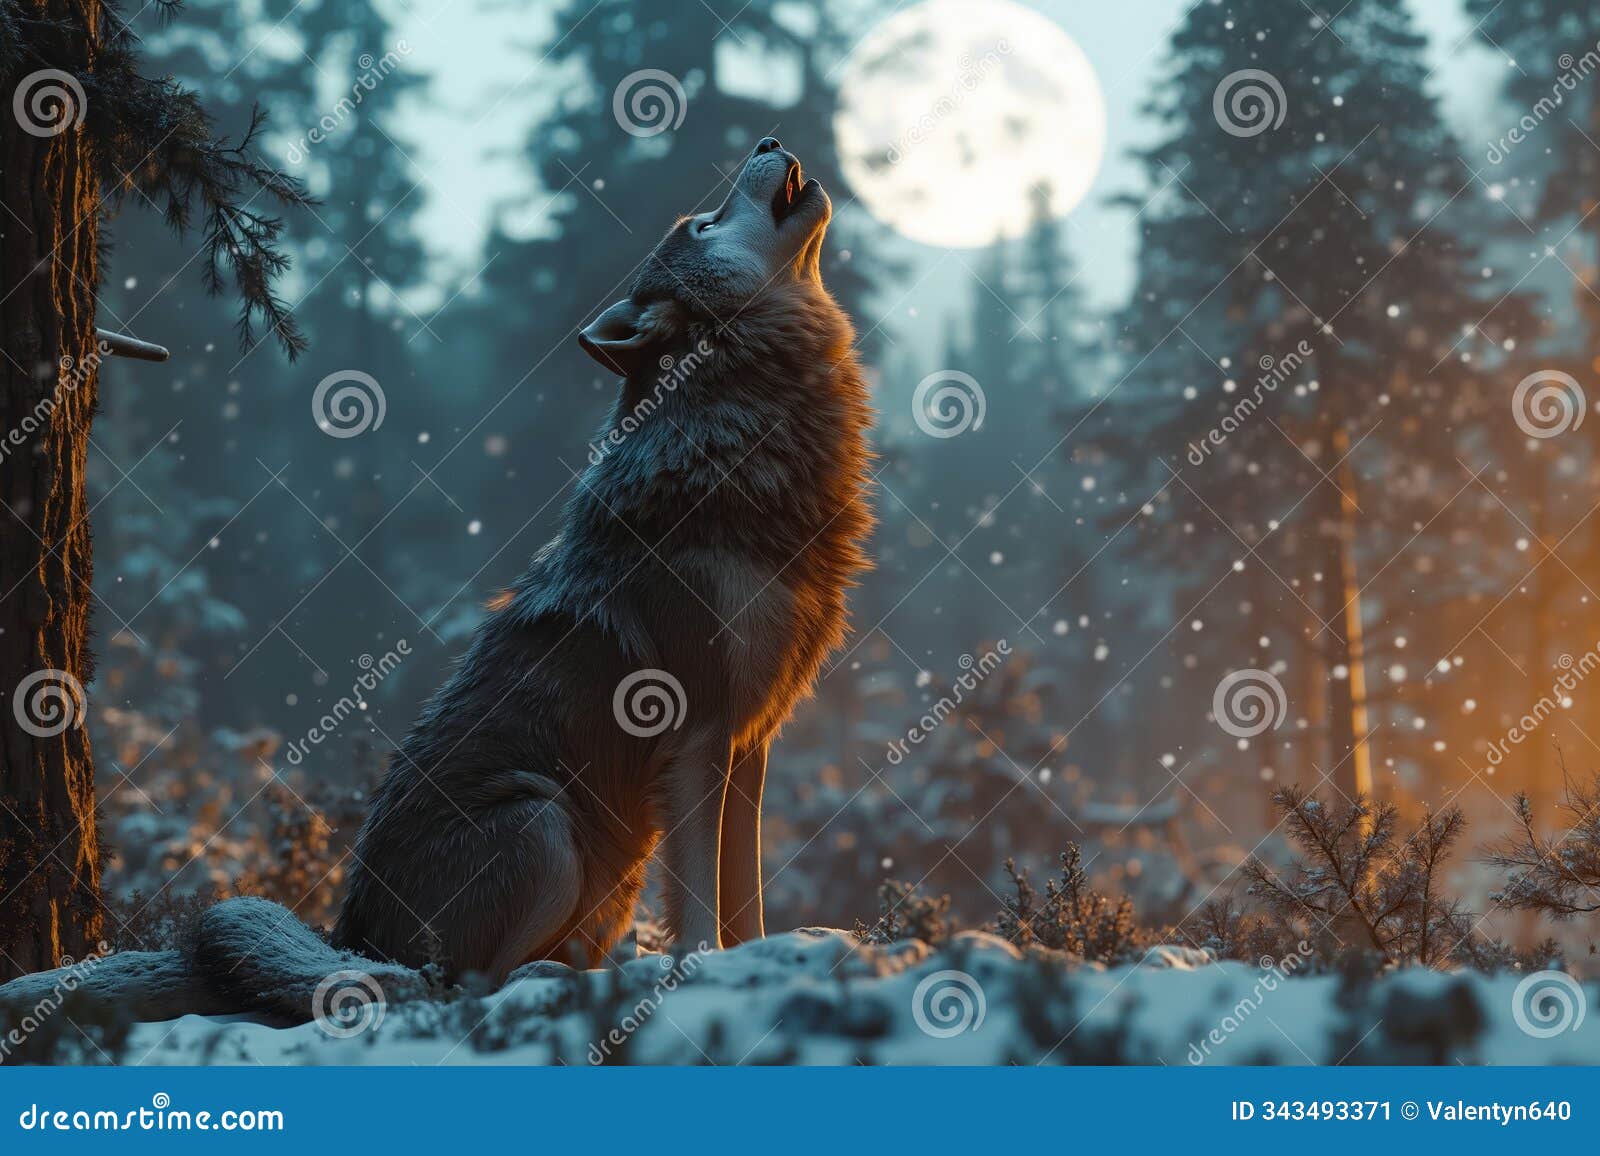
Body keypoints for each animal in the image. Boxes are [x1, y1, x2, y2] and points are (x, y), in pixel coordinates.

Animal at [38, 138, 875, 1023]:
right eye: (704, 222)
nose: (768, 141)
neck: (736, 443)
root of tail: (354, 941)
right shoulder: (697, 741)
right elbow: (701, 905)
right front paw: (706, 968)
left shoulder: (751, 744)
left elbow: (746, 893)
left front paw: (770, 956)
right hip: (545, 822)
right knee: (454, 989)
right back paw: (544, 982)